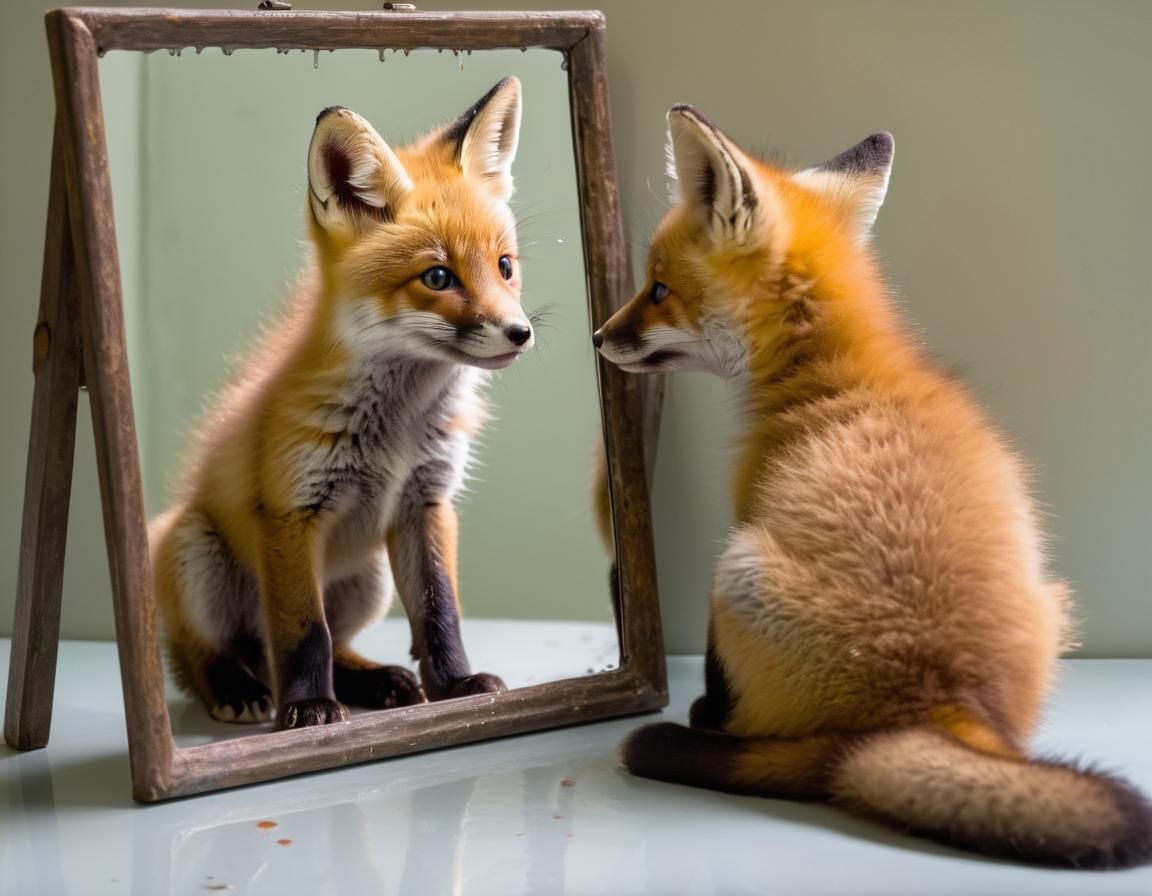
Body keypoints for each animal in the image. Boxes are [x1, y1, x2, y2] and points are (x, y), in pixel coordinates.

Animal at [150, 78, 533, 730]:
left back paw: (374, 680)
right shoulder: (290, 512)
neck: (398, 432)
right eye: (437, 278)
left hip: (368, 579)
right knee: (210, 652)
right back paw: (240, 688)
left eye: (505, 267)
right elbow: (306, 633)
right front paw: (308, 707)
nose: (520, 333)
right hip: (194, 553)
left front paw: (456, 686)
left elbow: (439, 613)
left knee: (319, 643)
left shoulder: (425, 502)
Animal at [594, 105, 1152, 868]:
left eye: (656, 289)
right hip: (1053, 602)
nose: (597, 335)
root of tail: (938, 704)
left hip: (739, 570)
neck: (828, 375)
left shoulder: (743, 518)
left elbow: (708, 662)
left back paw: (719, 733)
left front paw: (706, 709)